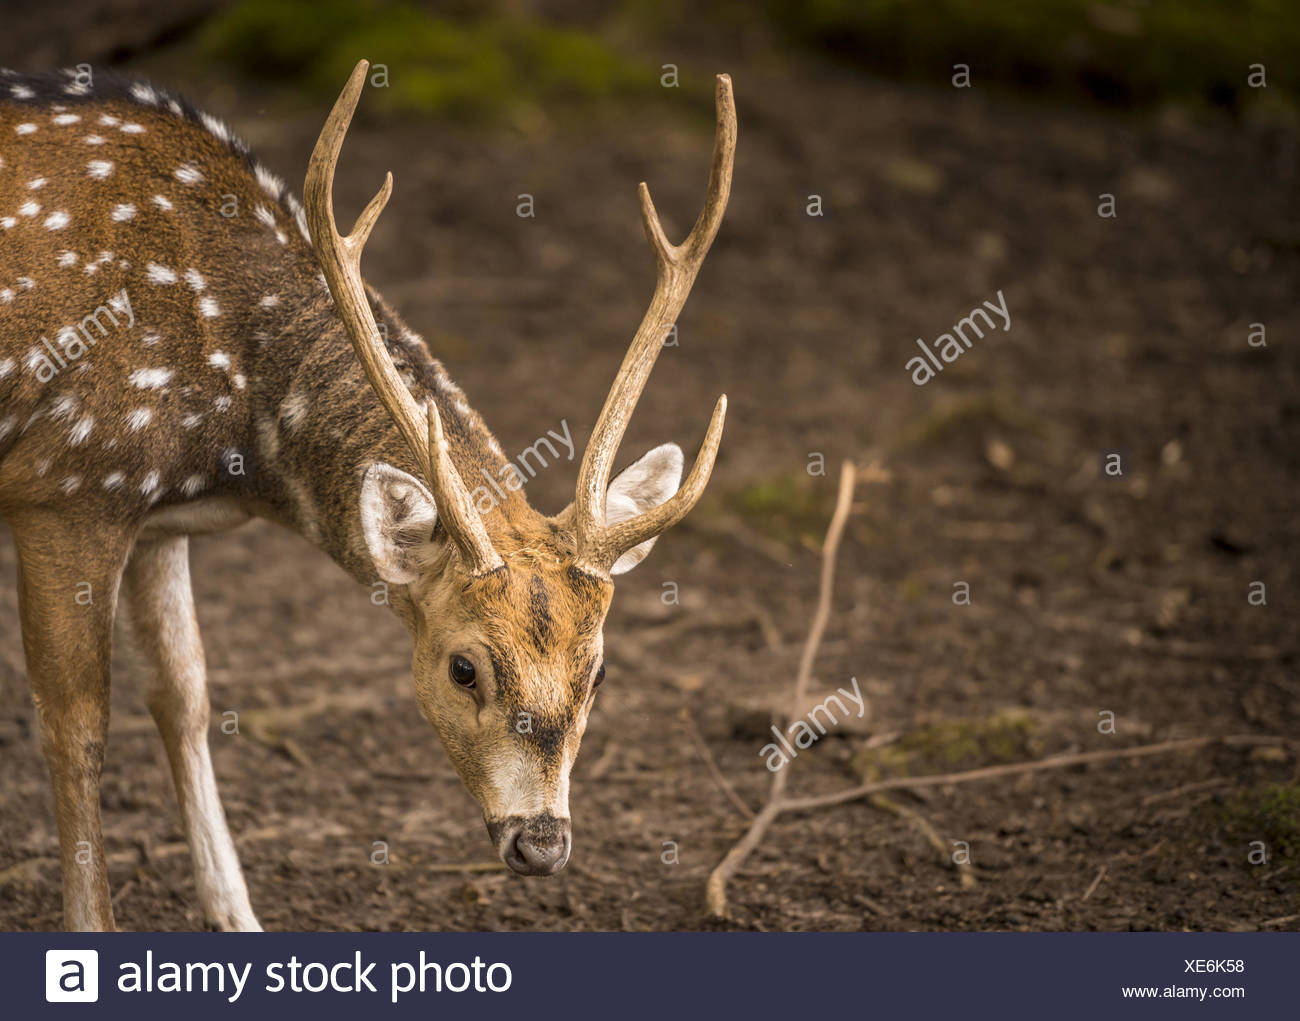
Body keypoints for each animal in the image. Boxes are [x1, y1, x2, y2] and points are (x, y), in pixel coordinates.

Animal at [0, 59, 735, 931]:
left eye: (600, 673)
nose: (542, 843)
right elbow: (76, 726)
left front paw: (239, 917)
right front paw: (92, 924)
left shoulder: (156, 521)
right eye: (462, 668)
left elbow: (184, 695)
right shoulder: (65, 486)